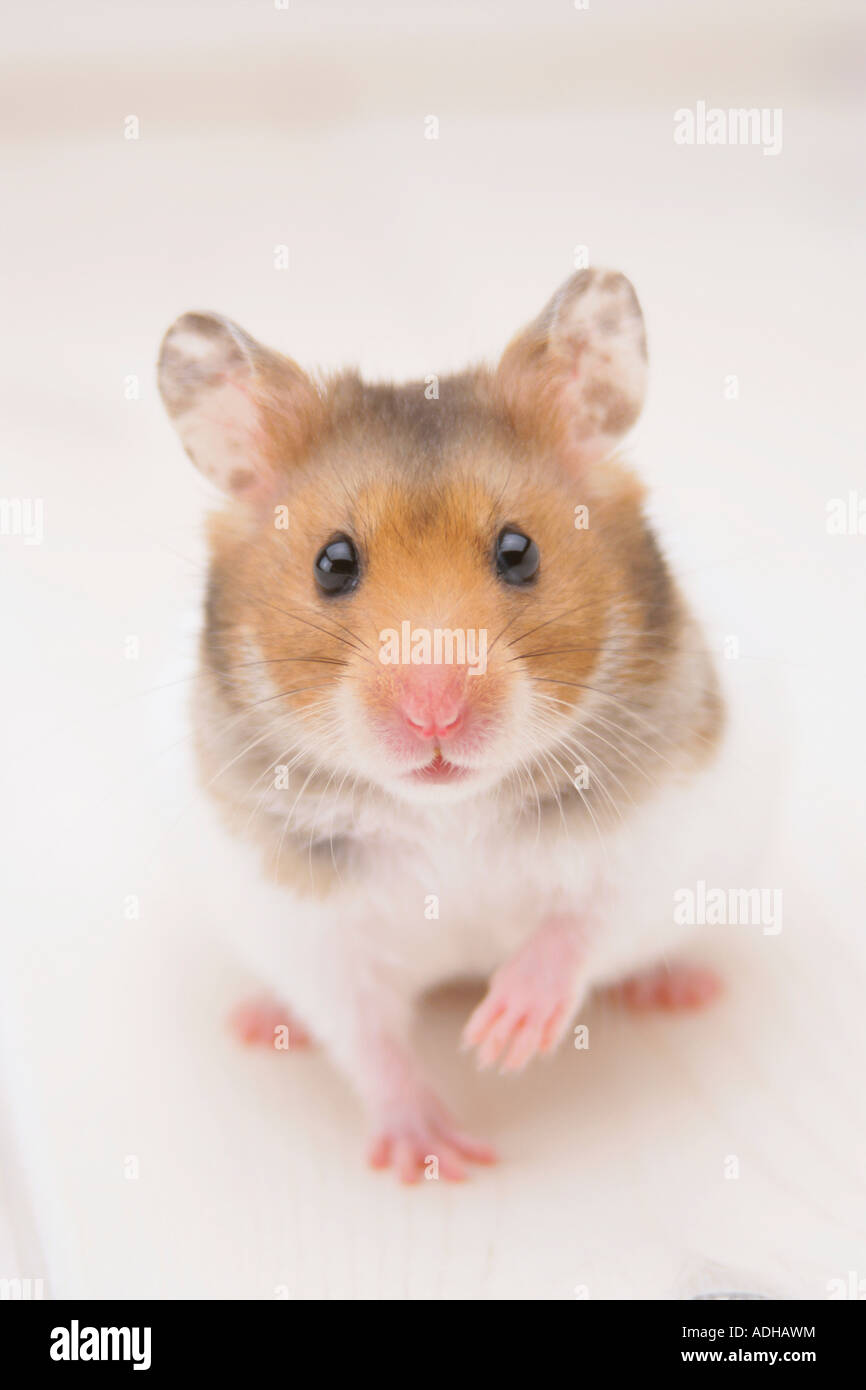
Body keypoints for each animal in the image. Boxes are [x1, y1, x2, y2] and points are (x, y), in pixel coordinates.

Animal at [157, 268, 743, 1183]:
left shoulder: (660, 832)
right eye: (333, 562)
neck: (448, 811)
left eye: (518, 550)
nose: (434, 709)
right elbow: (366, 1039)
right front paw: (435, 1159)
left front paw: (502, 1040)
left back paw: (677, 988)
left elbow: (585, 925)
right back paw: (260, 1022)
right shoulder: (305, 922)